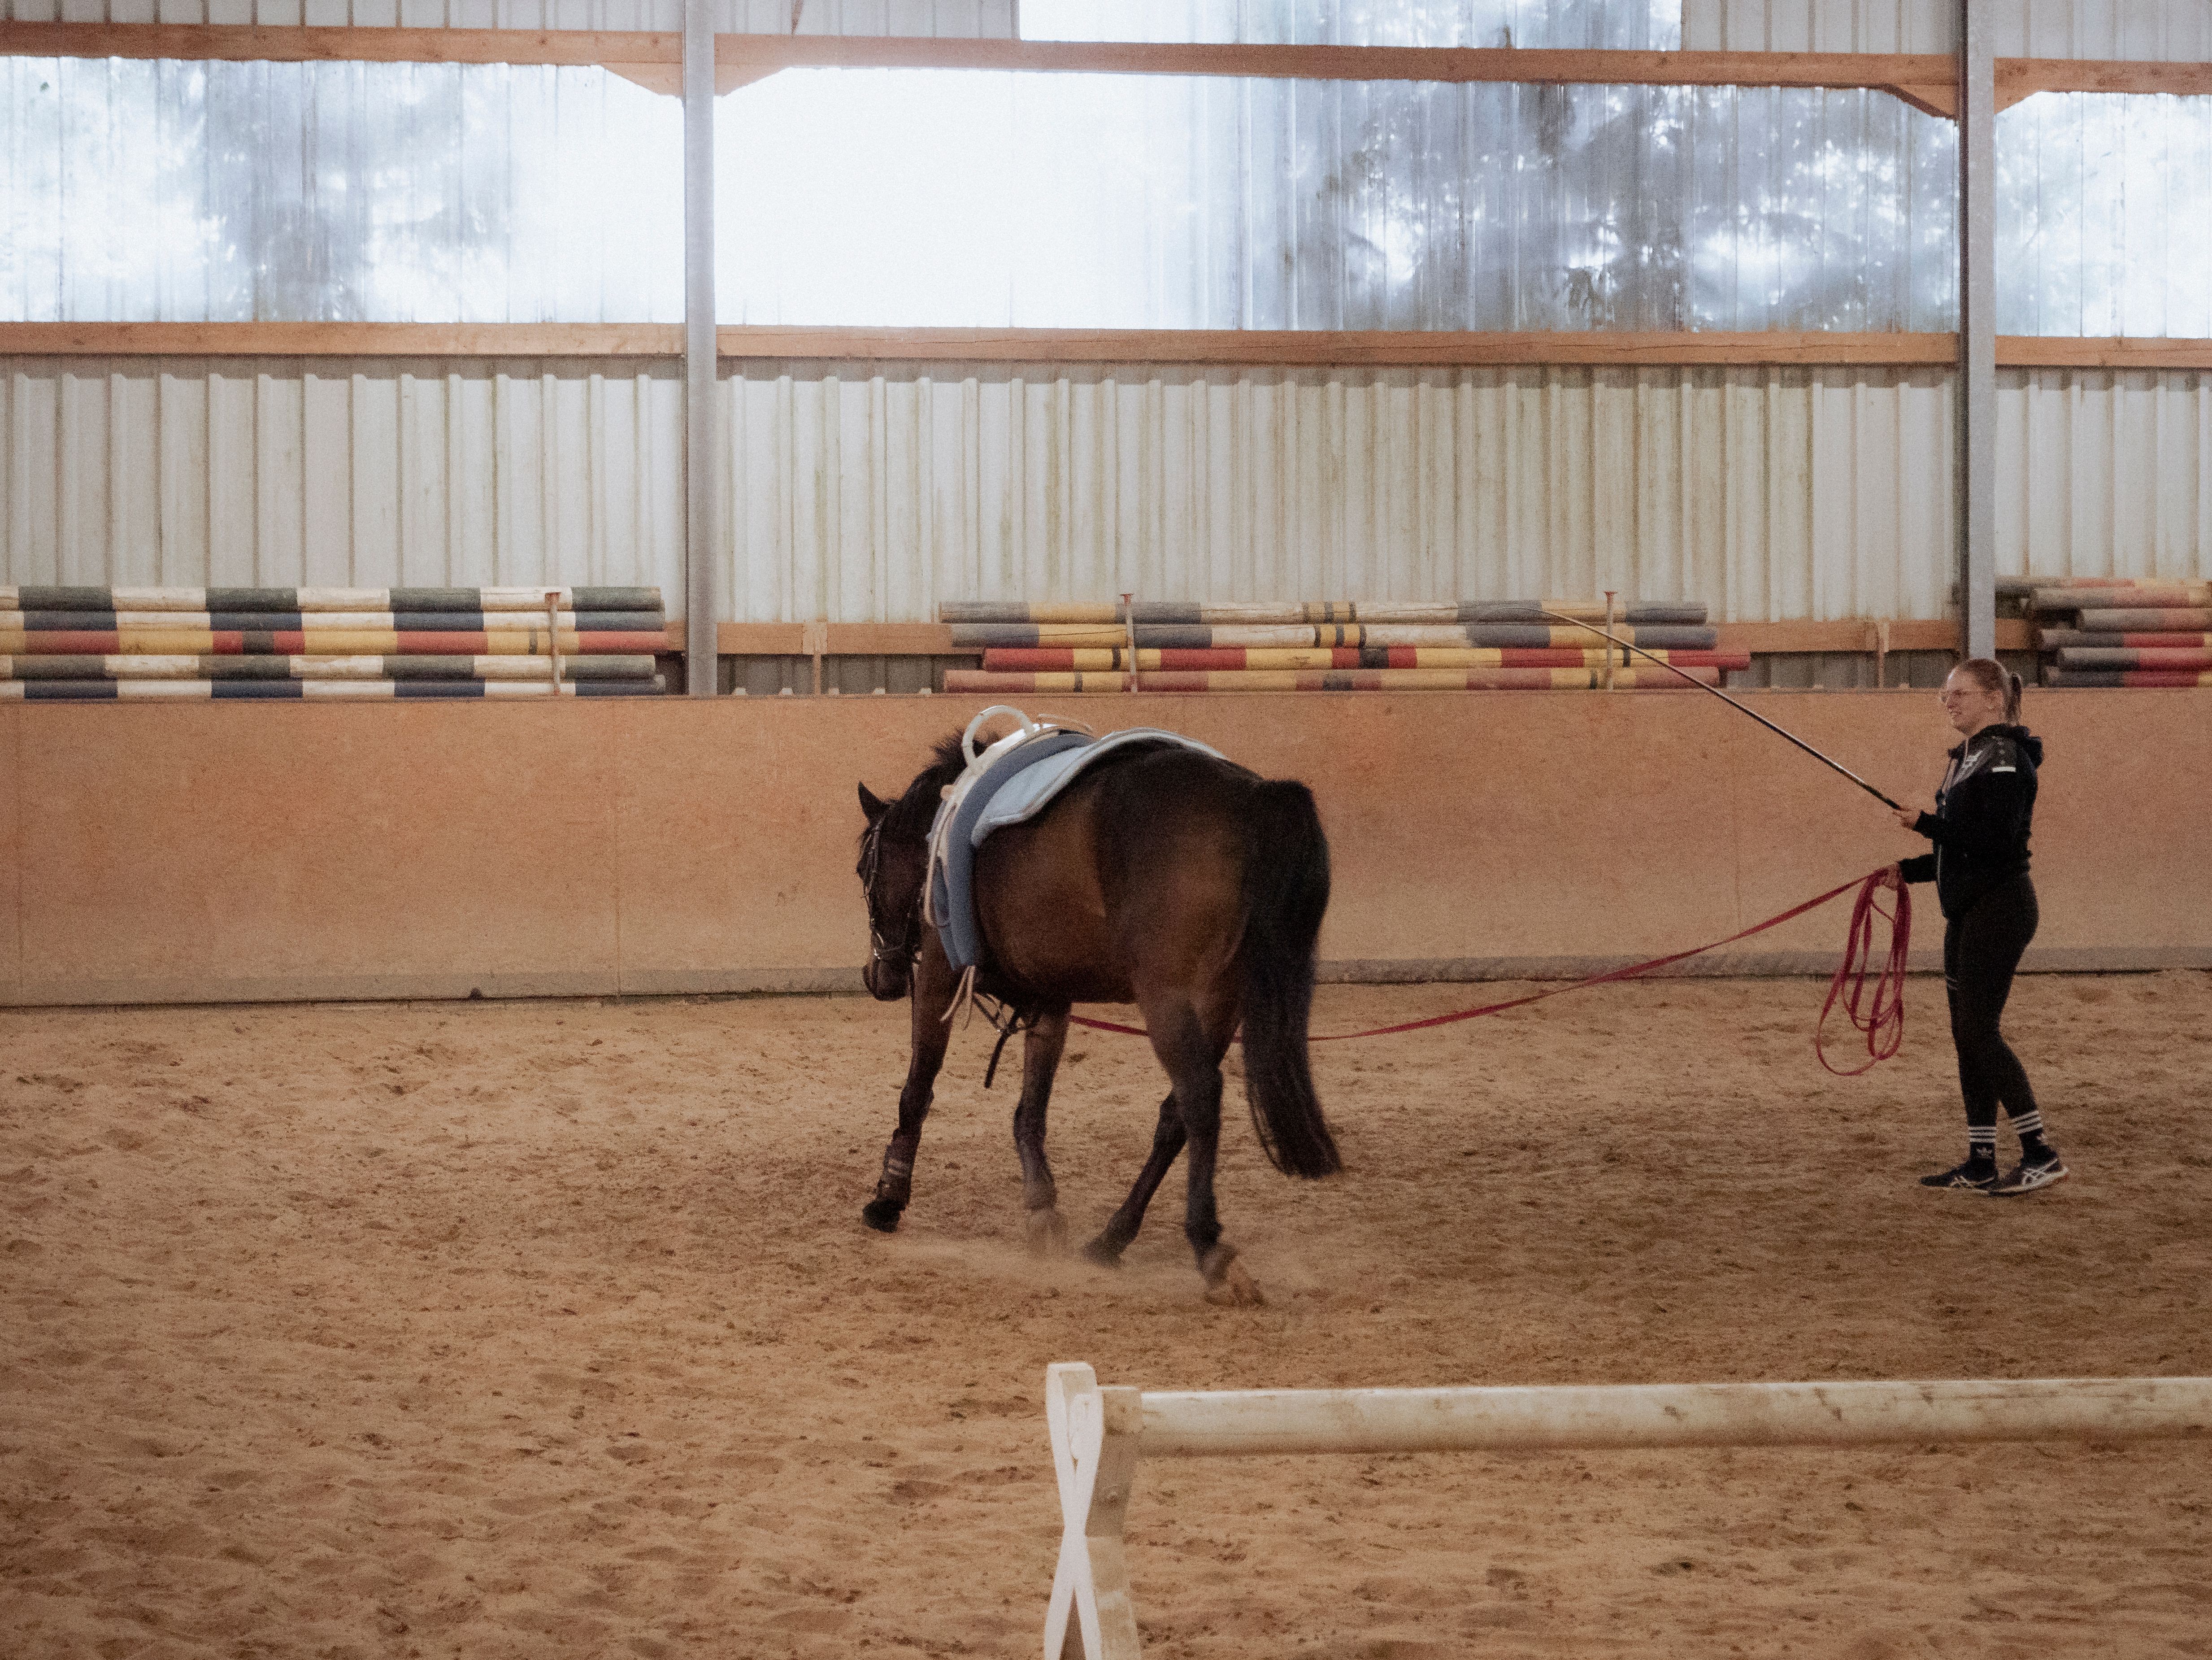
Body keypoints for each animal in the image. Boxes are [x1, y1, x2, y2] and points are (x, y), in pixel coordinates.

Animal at [853, 727, 1341, 1305]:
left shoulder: (937, 977)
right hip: (1220, 1004)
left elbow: (917, 1090)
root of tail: (1252, 797)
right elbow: (1029, 1112)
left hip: (1168, 998)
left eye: (864, 871)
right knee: (1174, 1116)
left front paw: (889, 1195)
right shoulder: (1049, 998)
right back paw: (1113, 1237)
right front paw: (1041, 1207)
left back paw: (1209, 1245)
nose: (877, 976)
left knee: (1199, 1097)